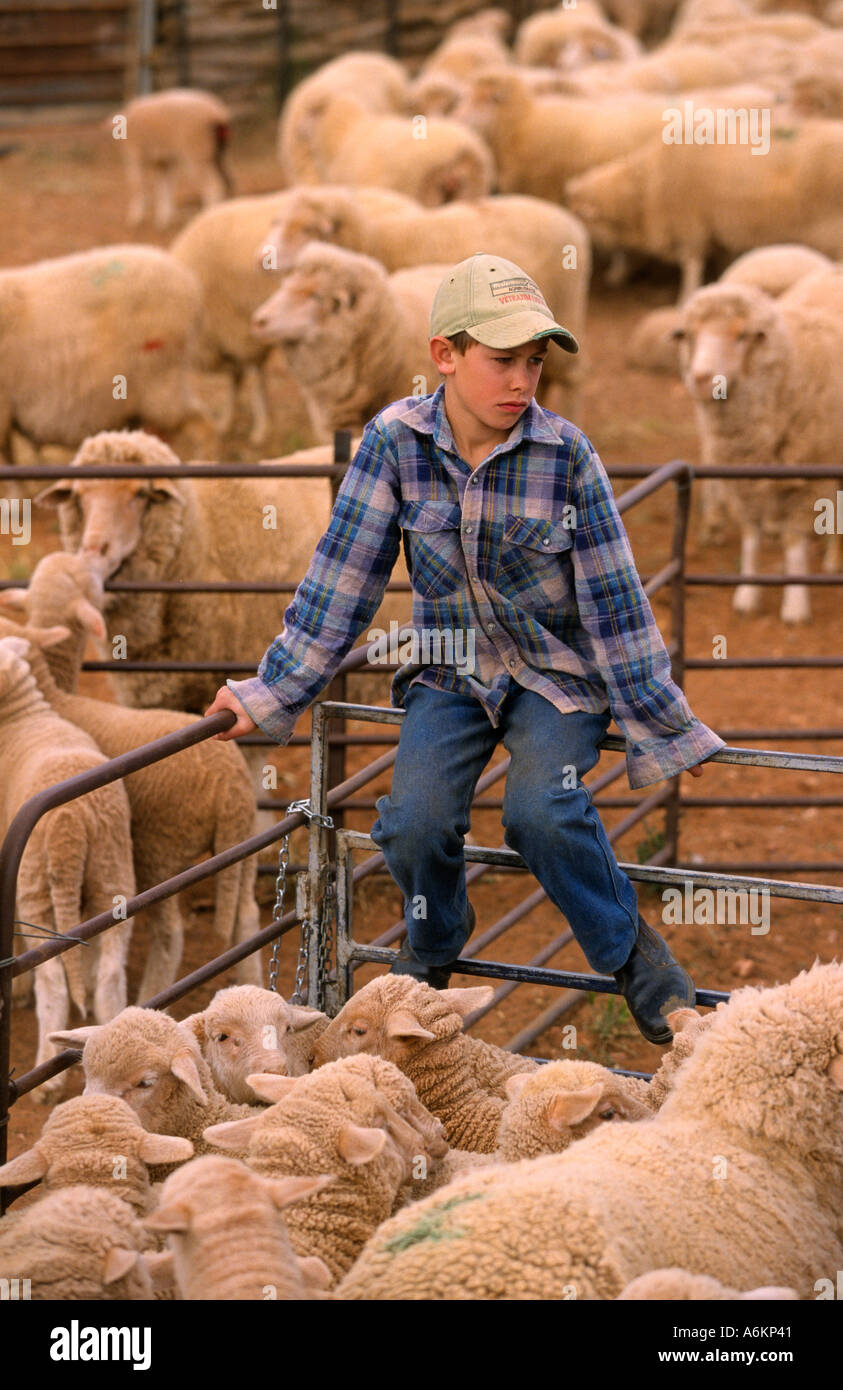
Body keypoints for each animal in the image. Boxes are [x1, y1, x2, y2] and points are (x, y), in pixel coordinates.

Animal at [0, 636, 135, 1100]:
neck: (22, 714)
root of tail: (69, 820)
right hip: (113, 874)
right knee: (110, 974)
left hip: (36, 884)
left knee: (54, 983)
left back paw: (45, 1074)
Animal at [117, 88, 233, 231]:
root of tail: (217, 113)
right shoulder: (164, 161)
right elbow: (165, 187)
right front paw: (164, 218)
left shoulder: (135, 154)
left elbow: (137, 184)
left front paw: (136, 217)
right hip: (217, 155)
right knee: (228, 182)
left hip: (196, 152)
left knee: (213, 185)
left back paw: (207, 216)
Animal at [257, 185, 591, 417]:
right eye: (277, 221)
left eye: (307, 228)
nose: (263, 258)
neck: (377, 240)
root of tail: (568, 218)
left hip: (565, 311)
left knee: (573, 380)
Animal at [673, 270, 843, 622]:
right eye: (690, 335)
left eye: (741, 336)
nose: (700, 378)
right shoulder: (742, 478)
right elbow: (751, 536)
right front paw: (747, 595)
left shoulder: (807, 477)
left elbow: (794, 541)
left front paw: (795, 605)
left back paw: (834, 558)